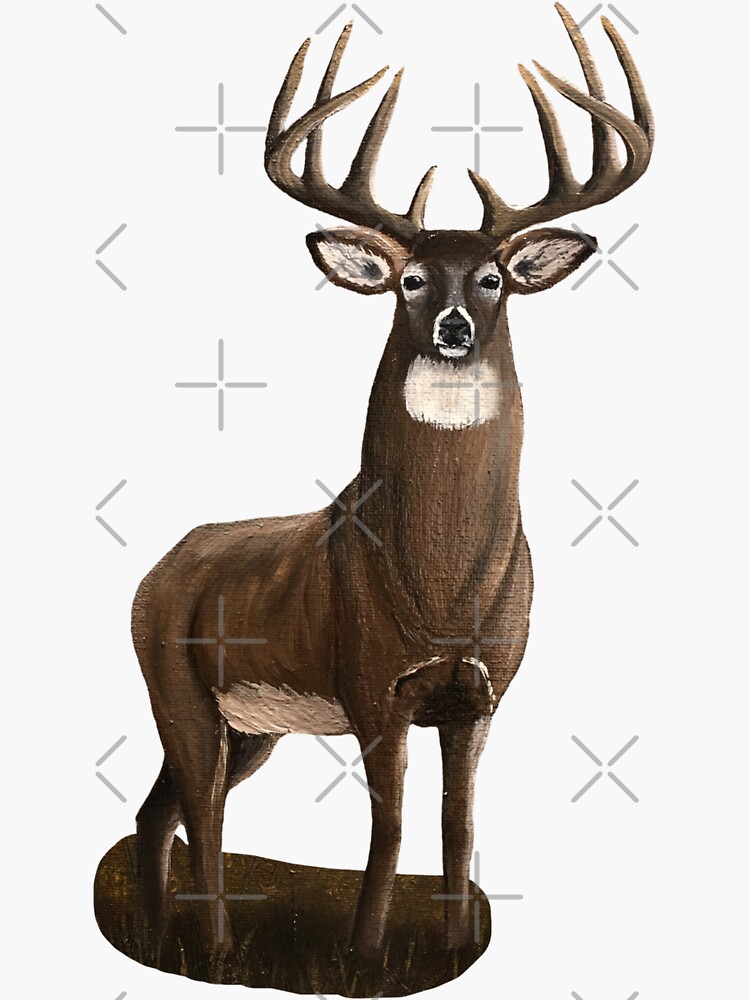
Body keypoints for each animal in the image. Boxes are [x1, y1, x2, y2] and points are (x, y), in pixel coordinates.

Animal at [132, 3, 653, 969]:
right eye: (410, 278)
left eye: (491, 277)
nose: (452, 326)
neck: (444, 582)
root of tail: (157, 569)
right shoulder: (372, 681)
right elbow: (392, 824)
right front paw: (365, 957)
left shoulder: (480, 693)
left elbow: (458, 824)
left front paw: (455, 945)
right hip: (174, 684)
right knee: (204, 815)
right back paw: (213, 948)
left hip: (249, 726)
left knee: (161, 813)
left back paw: (155, 938)